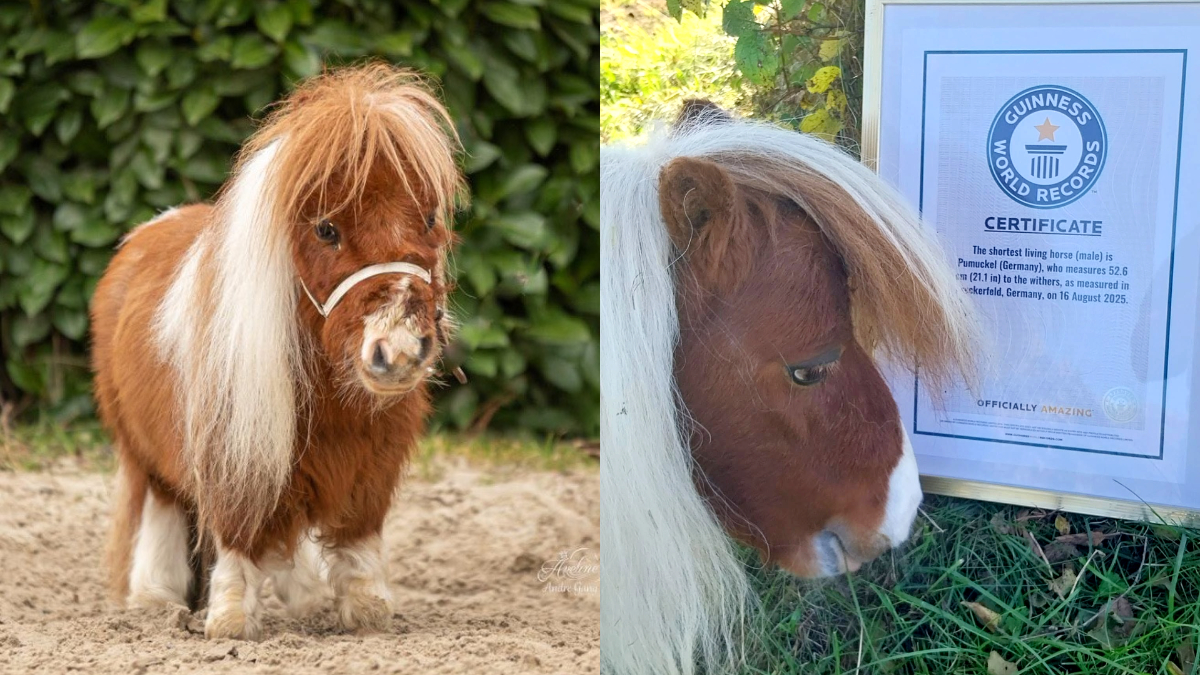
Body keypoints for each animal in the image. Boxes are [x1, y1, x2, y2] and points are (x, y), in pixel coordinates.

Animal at [90, 63, 464, 640]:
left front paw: (367, 611)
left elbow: (357, 538)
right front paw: (229, 620)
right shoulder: (234, 451)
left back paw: (303, 598)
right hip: (142, 450)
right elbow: (238, 537)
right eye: (326, 229)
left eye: (427, 219)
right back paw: (155, 598)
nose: (398, 351)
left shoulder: (372, 460)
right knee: (164, 507)